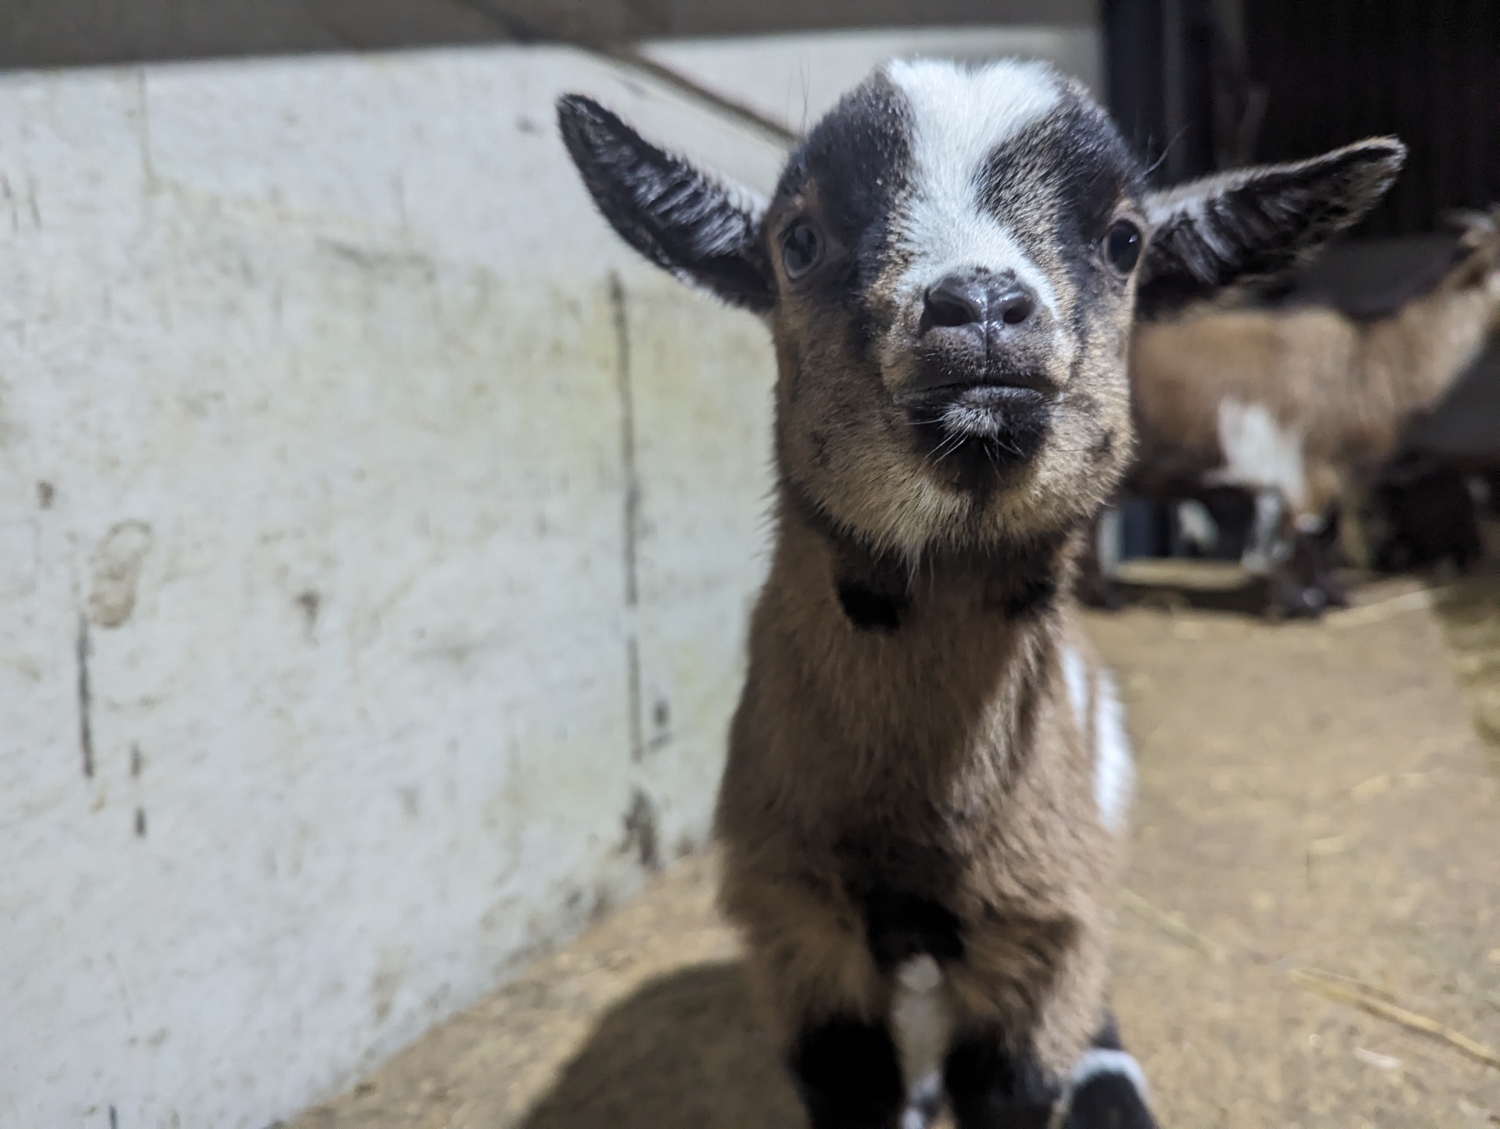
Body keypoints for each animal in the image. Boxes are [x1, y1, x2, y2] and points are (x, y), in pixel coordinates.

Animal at [558, 61, 1402, 1129]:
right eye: (799, 240)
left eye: (1125, 240)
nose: (985, 307)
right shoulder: (800, 938)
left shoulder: (1044, 931)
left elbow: (1021, 1078)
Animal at [1116, 208, 1500, 615]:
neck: (1370, 354)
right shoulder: (1306, 469)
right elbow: (1298, 539)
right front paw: (1300, 604)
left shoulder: (1332, 475)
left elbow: (1320, 540)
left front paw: (1329, 596)